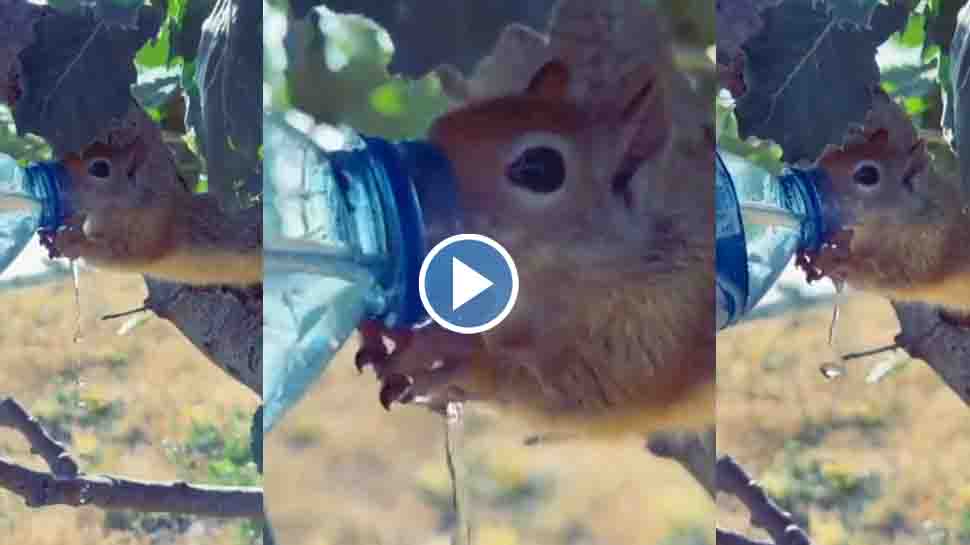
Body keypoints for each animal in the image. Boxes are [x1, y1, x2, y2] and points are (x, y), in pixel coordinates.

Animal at [49, 119, 262, 287]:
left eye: (100, 168)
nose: (56, 174)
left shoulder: (153, 227)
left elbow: (119, 255)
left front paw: (72, 242)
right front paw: (66, 227)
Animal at [798, 87, 970, 314]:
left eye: (867, 175)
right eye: (831, 151)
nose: (810, 181)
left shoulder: (928, 248)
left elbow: (878, 278)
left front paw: (830, 260)